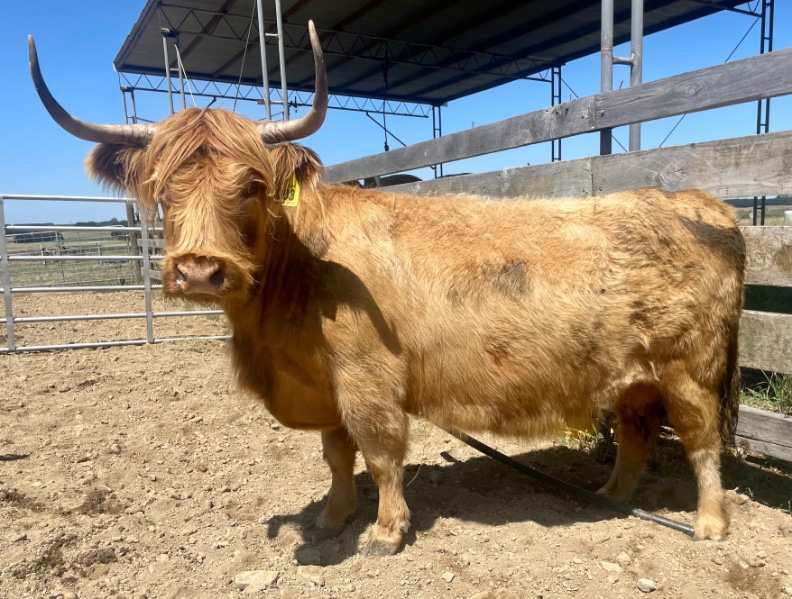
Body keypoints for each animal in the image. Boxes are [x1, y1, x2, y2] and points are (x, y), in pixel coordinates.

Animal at [29, 22, 745, 556]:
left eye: (253, 185)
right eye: (158, 190)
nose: (201, 270)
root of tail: (693, 198)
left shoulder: (367, 378)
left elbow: (378, 454)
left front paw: (384, 531)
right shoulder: (324, 386)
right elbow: (335, 456)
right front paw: (333, 518)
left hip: (690, 368)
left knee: (702, 440)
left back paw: (709, 524)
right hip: (634, 372)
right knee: (637, 429)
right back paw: (612, 496)